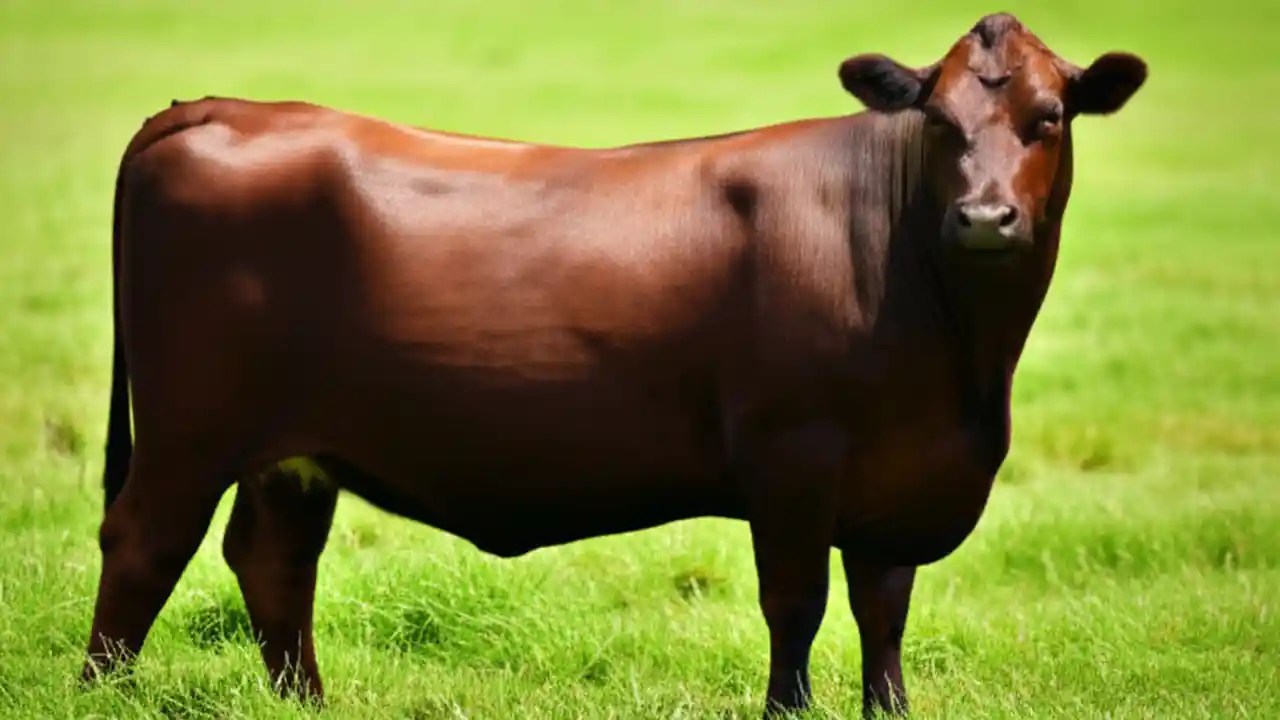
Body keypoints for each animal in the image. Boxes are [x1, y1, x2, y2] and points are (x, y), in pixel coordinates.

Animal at [80, 13, 1146, 717]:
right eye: (938, 121)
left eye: (1050, 118)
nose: (985, 218)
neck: (960, 364)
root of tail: (220, 108)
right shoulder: (792, 458)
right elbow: (795, 609)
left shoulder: (900, 485)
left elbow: (882, 621)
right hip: (188, 432)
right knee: (143, 545)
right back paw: (102, 692)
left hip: (290, 453)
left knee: (273, 560)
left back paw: (307, 703)